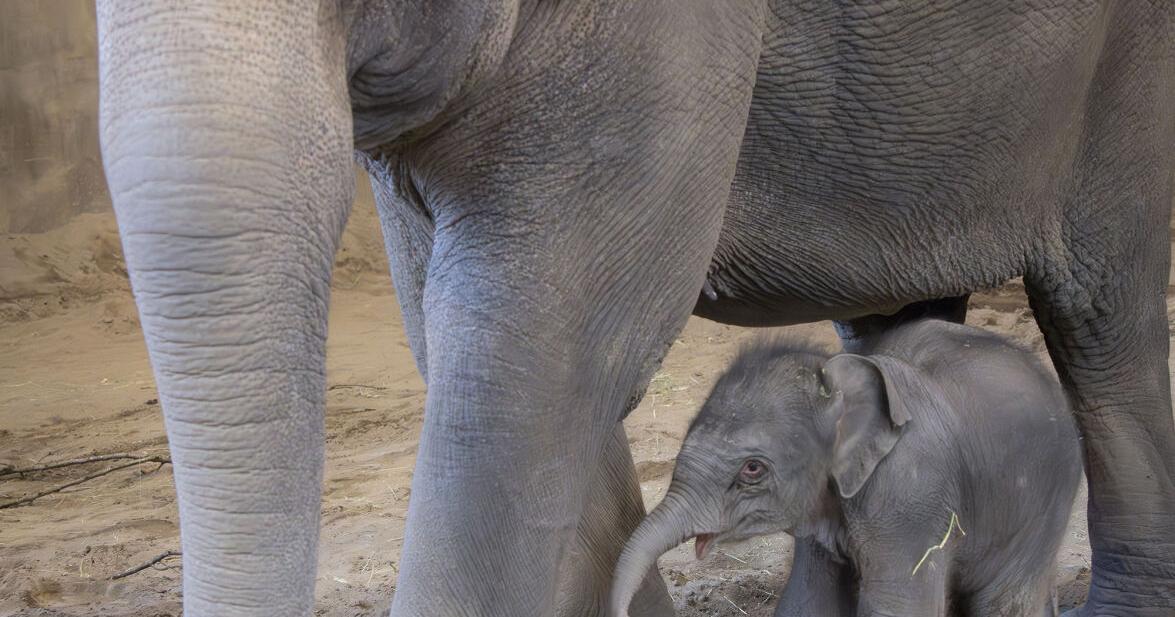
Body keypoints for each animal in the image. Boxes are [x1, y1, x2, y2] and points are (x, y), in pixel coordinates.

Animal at [610, 320, 1083, 617]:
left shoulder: (912, 491)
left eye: (752, 469)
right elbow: (808, 601)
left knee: (1007, 601)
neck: (834, 378)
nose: (620, 611)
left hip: (1045, 499)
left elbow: (899, 607)